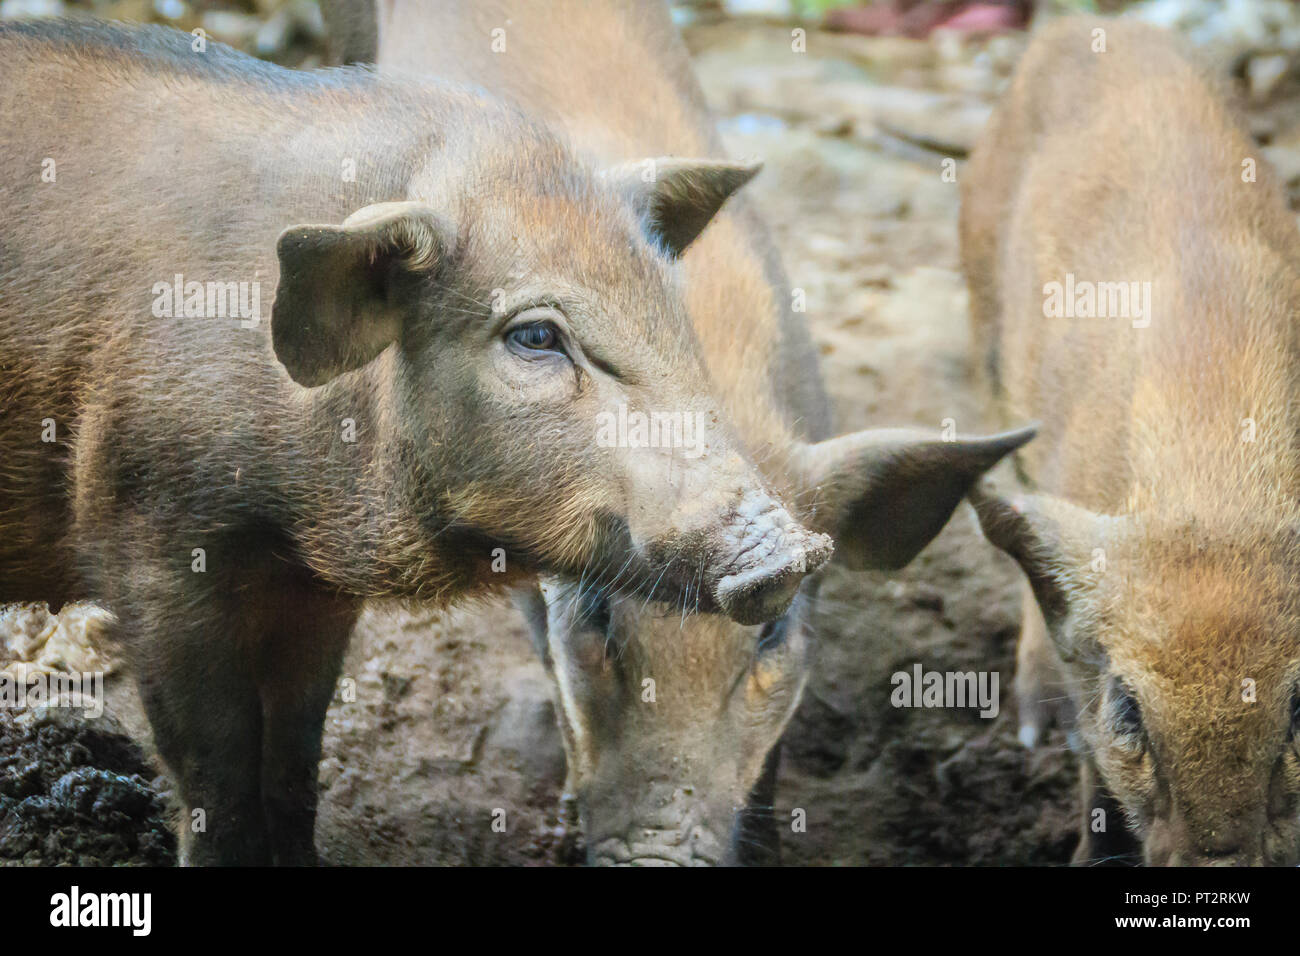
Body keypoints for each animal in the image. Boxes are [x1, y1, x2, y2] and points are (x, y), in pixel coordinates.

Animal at [0, 18, 838, 864]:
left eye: (674, 310)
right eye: (535, 336)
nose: (796, 551)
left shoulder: (312, 589)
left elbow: (295, 751)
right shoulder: (147, 540)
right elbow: (218, 767)